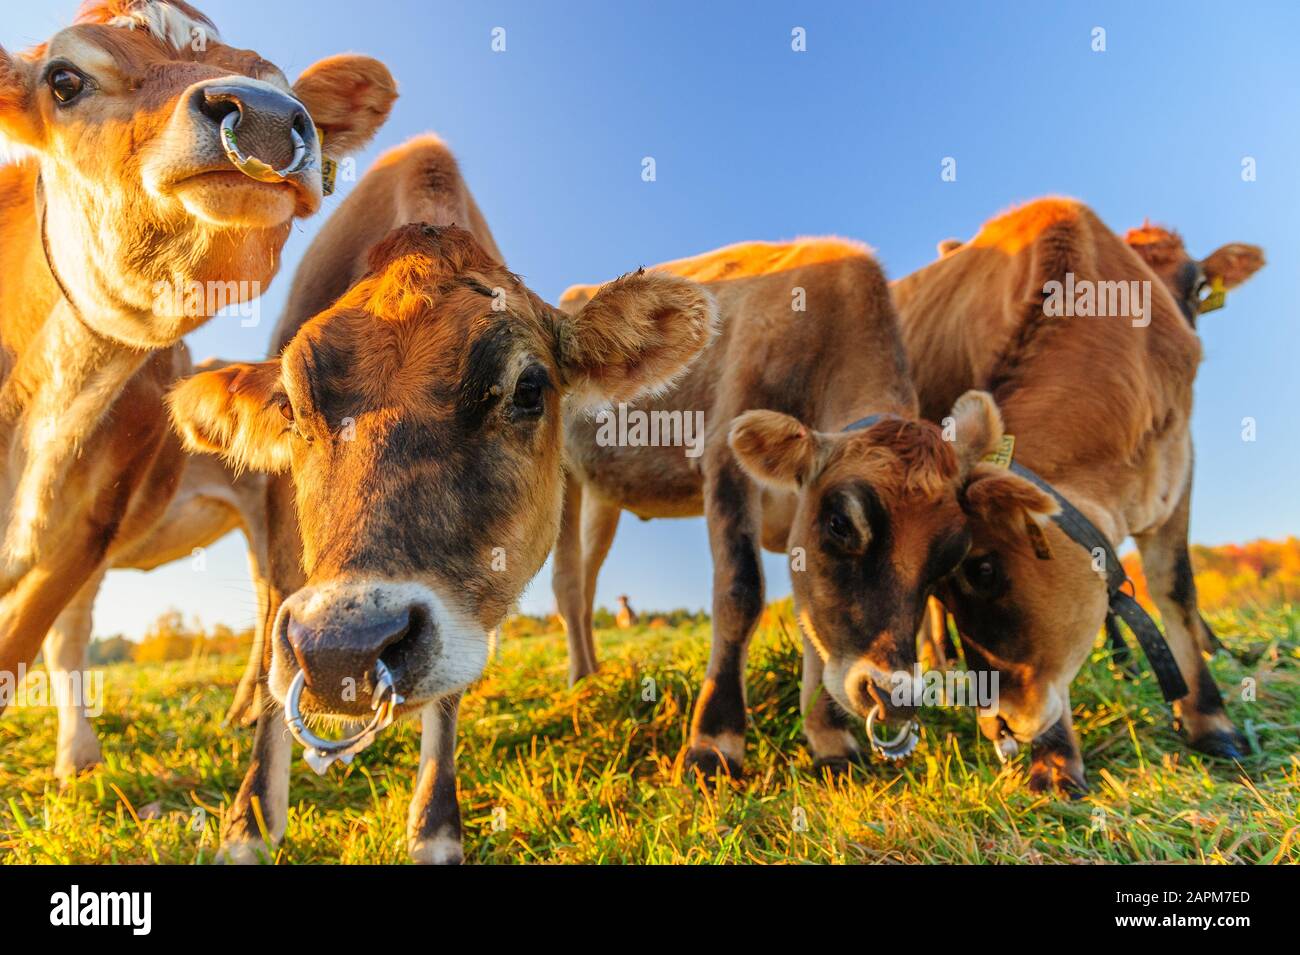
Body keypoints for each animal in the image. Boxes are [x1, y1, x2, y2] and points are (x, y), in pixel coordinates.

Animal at [165, 135, 719, 864]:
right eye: (291, 407)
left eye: (530, 388)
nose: (343, 649)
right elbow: (276, 628)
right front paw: (250, 821)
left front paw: (435, 827)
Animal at [551, 239, 1055, 778]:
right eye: (841, 523)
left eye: (949, 560)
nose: (893, 699)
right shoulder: (725, 457)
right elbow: (740, 591)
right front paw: (715, 740)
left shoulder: (800, 507)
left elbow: (809, 611)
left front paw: (828, 735)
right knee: (569, 582)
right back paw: (580, 682)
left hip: (605, 497)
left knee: (588, 579)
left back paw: (593, 672)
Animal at [891, 197, 1265, 793]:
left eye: (983, 570)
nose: (998, 727)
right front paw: (1055, 759)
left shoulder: (1179, 462)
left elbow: (1176, 588)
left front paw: (1212, 723)